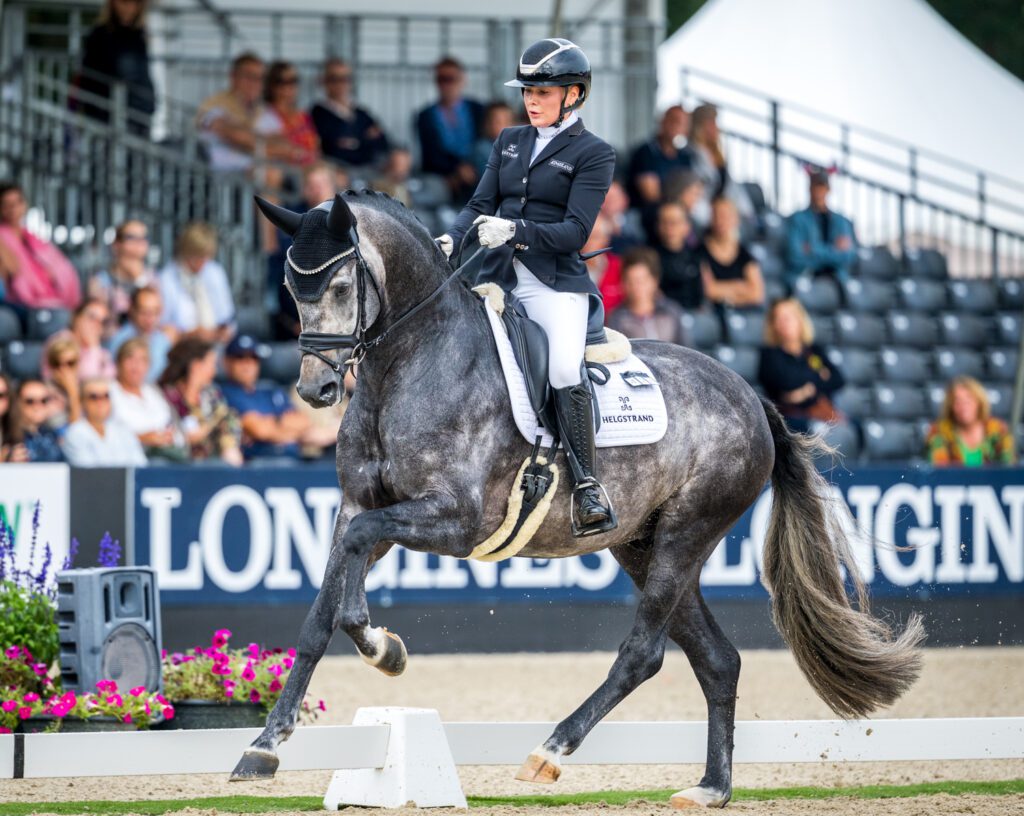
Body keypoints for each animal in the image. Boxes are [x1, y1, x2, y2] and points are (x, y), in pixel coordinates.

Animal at [230, 191, 924, 808]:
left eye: (342, 286)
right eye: (291, 289)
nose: (315, 390)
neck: (409, 366)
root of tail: (750, 395)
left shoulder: (457, 519)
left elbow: (355, 561)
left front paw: (382, 647)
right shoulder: (356, 506)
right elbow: (320, 613)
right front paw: (265, 746)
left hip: (687, 533)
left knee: (644, 654)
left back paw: (551, 750)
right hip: (642, 546)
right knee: (718, 660)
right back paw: (710, 788)